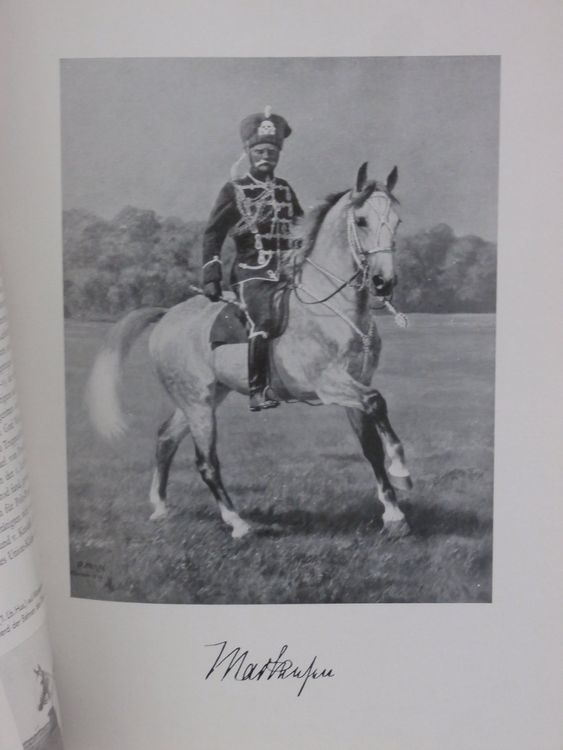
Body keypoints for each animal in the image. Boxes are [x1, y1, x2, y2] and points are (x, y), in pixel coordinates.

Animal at [86, 163, 413, 539]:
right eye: (361, 220)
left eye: (397, 221)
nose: (383, 282)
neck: (330, 307)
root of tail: (167, 315)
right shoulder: (329, 383)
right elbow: (377, 403)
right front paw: (402, 471)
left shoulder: (354, 386)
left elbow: (370, 446)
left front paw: (394, 513)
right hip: (198, 403)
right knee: (206, 462)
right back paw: (237, 522)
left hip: (206, 396)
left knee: (166, 437)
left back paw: (161, 508)